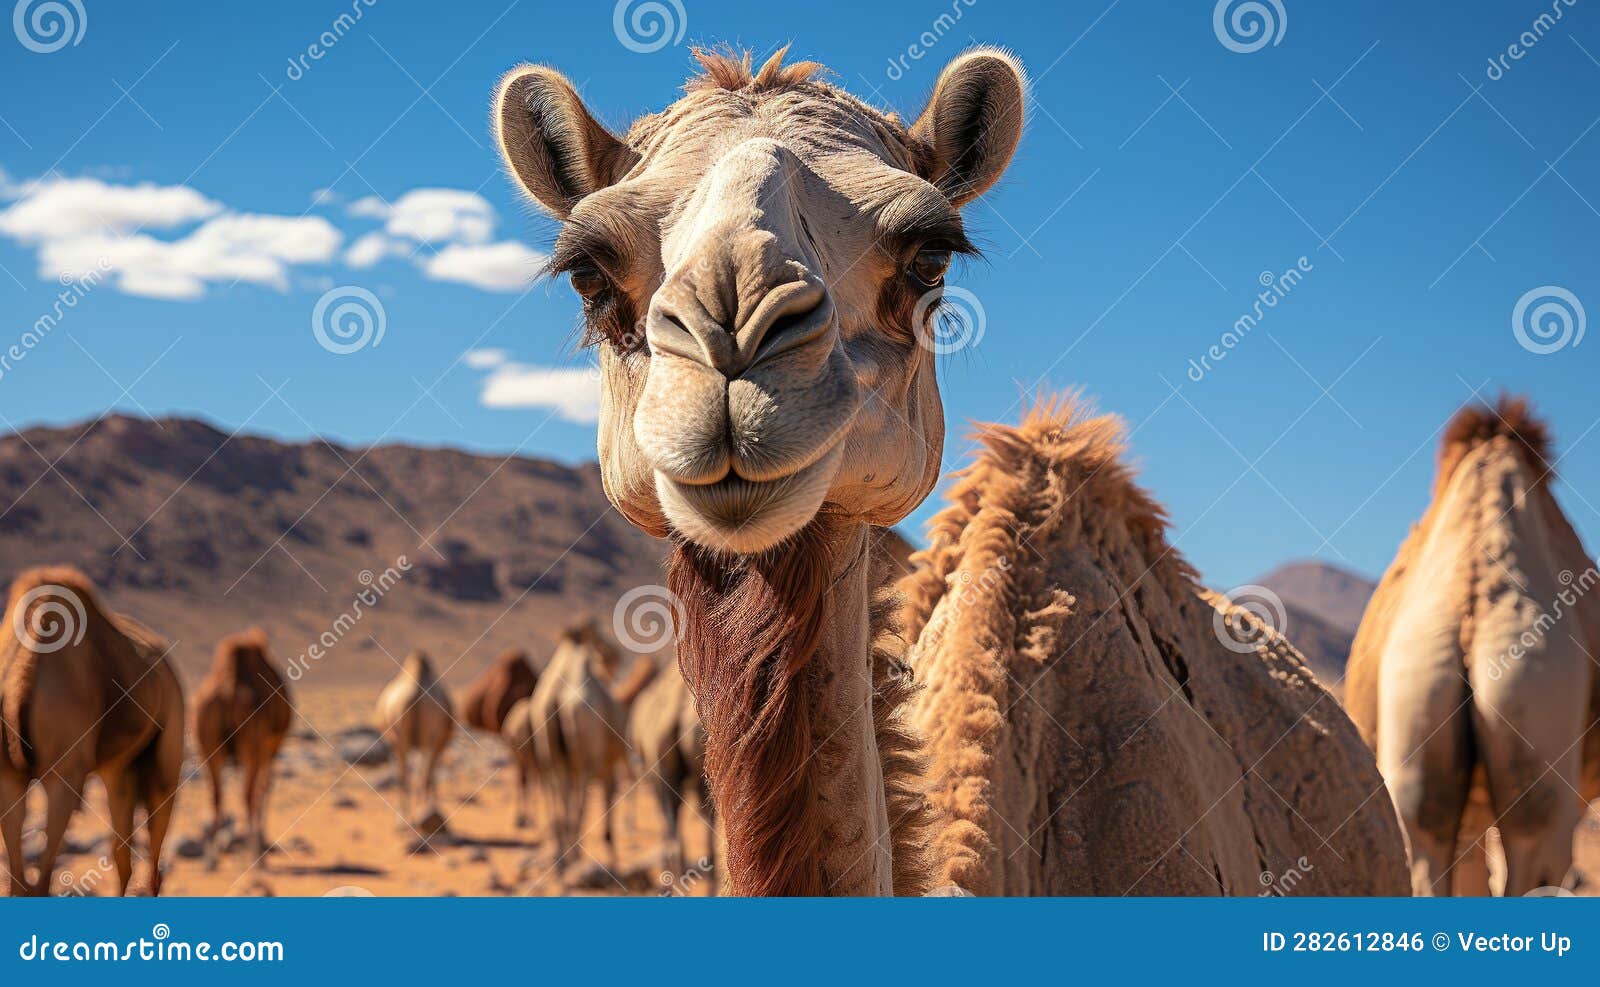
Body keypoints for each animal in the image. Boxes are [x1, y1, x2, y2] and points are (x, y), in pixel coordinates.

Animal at [0, 567, 184, 896]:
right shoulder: (8, 775)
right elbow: (19, 881)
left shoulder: (66, 773)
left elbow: (40, 879)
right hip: (119, 769)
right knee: (123, 853)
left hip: (166, 753)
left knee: (151, 848)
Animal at [192, 628, 294, 861]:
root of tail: (230, 687)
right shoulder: (272, 746)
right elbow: (265, 787)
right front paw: (262, 838)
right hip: (254, 748)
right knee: (249, 794)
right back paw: (255, 854)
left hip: (206, 745)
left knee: (216, 794)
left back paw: (212, 854)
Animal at [373, 651, 456, 821]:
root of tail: (416, 688)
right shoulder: (438, 741)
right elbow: (429, 774)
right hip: (425, 738)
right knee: (422, 775)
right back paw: (422, 812)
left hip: (403, 738)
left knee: (407, 775)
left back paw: (407, 815)